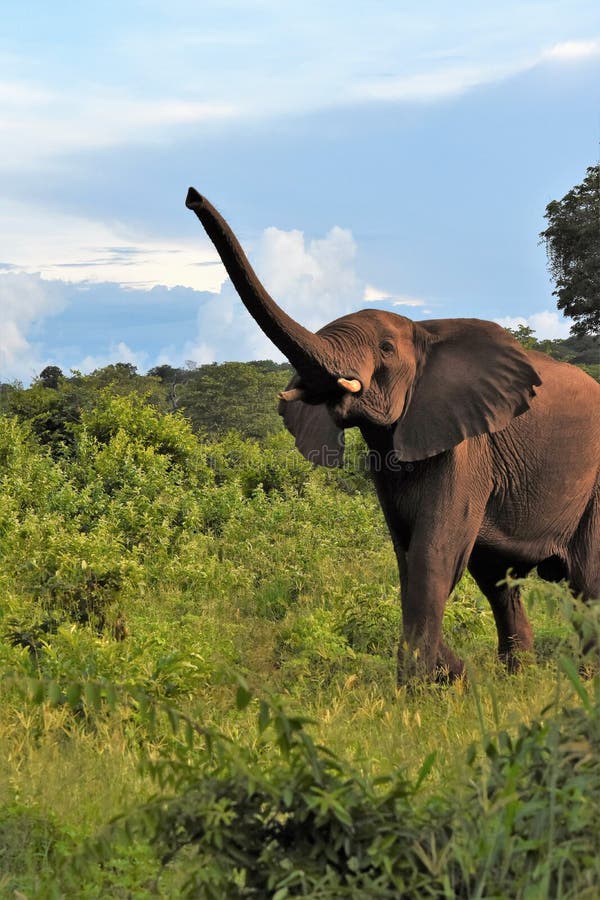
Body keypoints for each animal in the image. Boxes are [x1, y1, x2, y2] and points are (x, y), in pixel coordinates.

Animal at [186, 188, 600, 681]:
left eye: (385, 349)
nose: (191, 196)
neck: (426, 331)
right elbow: (407, 555)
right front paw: (450, 675)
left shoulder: (467, 448)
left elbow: (432, 553)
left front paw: (420, 686)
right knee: (498, 581)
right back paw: (515, 678)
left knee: (587, 581)